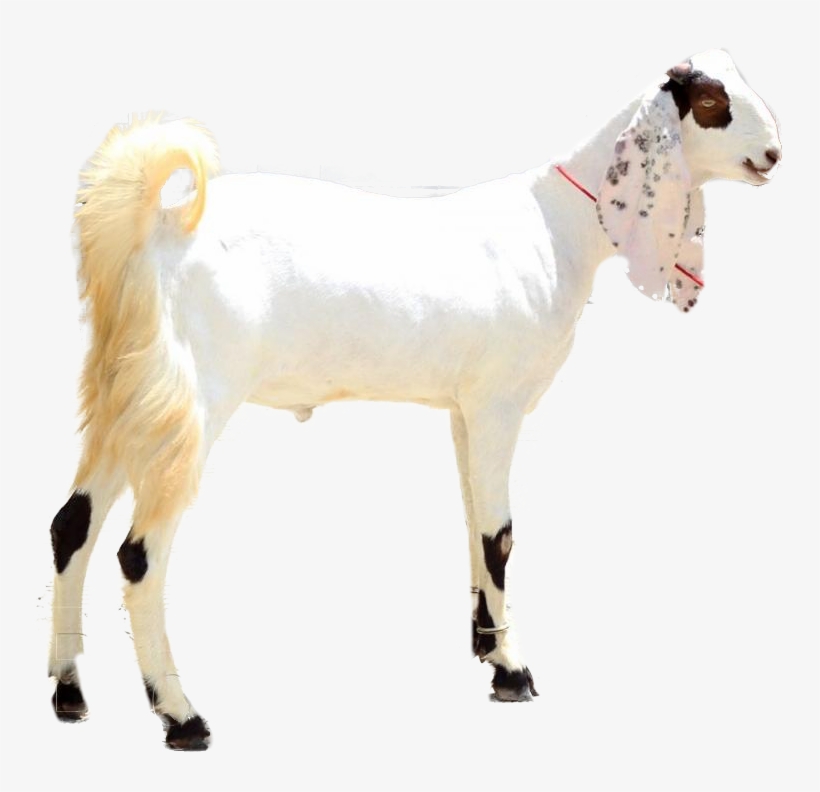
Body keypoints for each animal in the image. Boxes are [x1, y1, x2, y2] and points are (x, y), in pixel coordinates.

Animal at [49, 49, 781, 750]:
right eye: (711, 100)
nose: (773, 154)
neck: (559, 225)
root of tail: (150, 228)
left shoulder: (462, 409)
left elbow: (473, 522)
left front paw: (485, 646)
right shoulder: (497, 403)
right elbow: (500, 536)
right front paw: (513, 672)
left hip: (129, 396)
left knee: (71, 525)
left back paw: (69, 692)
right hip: (192, 405)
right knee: (140, 555)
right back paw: (182, 717)